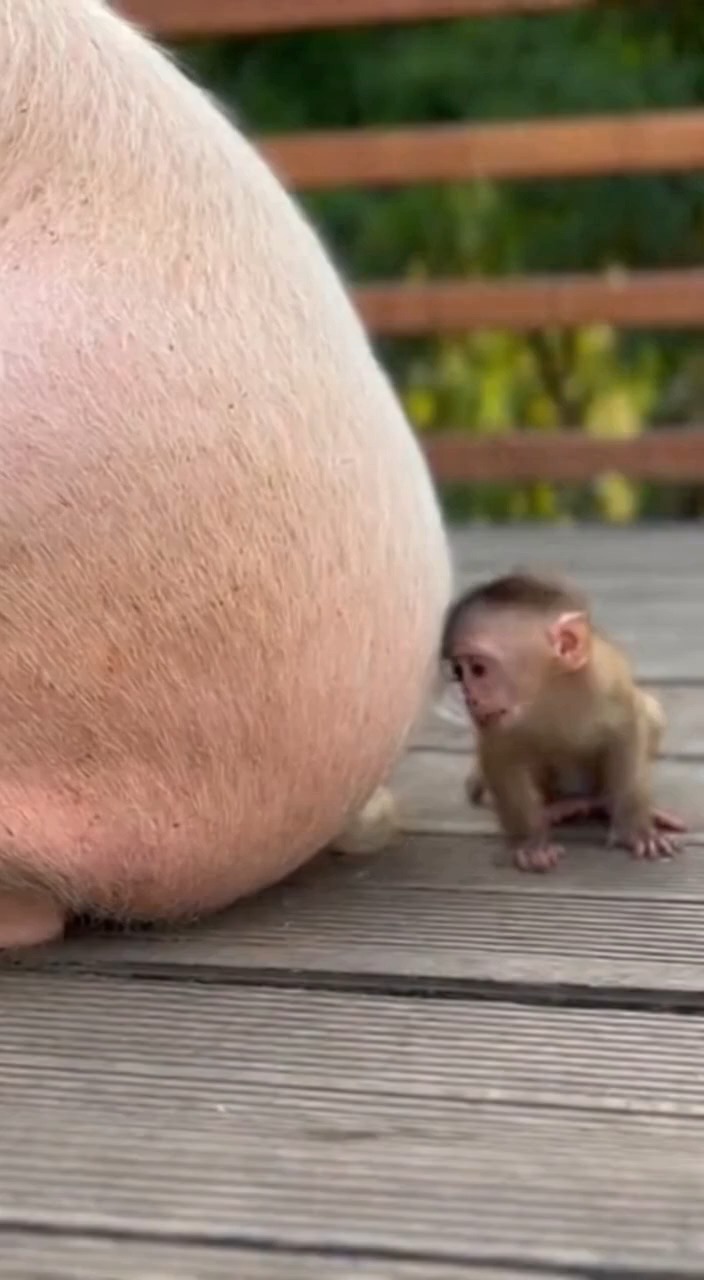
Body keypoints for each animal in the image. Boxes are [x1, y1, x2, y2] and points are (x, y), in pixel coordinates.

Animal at [441, 571, 686, 872]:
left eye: (478, 669)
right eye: (458, 672)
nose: (471, 698)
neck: (550, 694)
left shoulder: (610, 681)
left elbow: (630, 729)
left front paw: (636, 827)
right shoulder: (498, 722)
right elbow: (500, 755)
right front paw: (530, 843)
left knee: (650, 712)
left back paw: (600, 801)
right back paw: (562, 807)